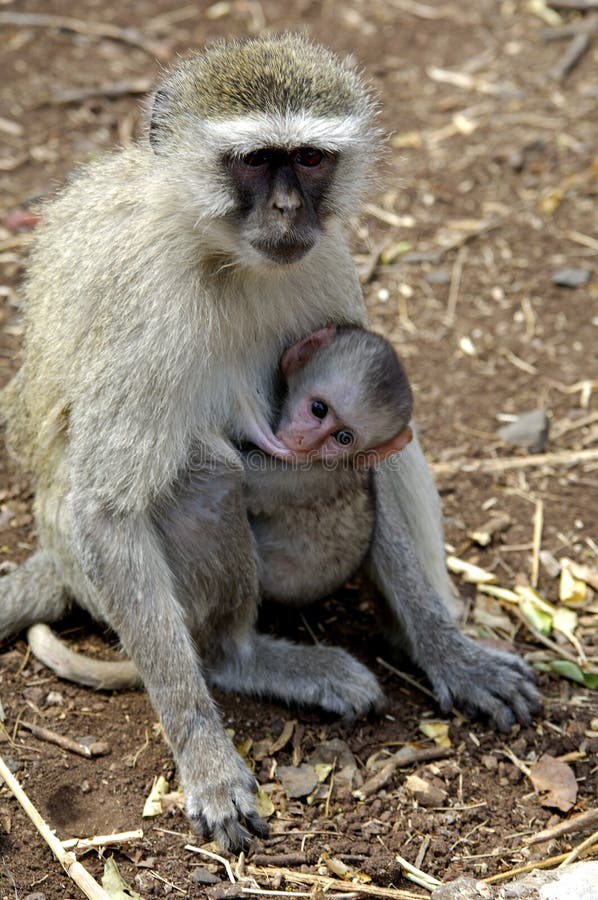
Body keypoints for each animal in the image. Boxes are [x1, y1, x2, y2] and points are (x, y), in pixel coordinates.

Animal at [0, 35, 540, 852]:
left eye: (310, 159)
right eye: (255, 161)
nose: (289, 208)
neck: (219, 256)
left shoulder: (326, 264)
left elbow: (378, 453)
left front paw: (446, 652)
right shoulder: (145, 307)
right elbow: (109, 510)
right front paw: (205, 755)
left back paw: (418, 628)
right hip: (92, 570)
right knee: (201, 480)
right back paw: (245, 658)